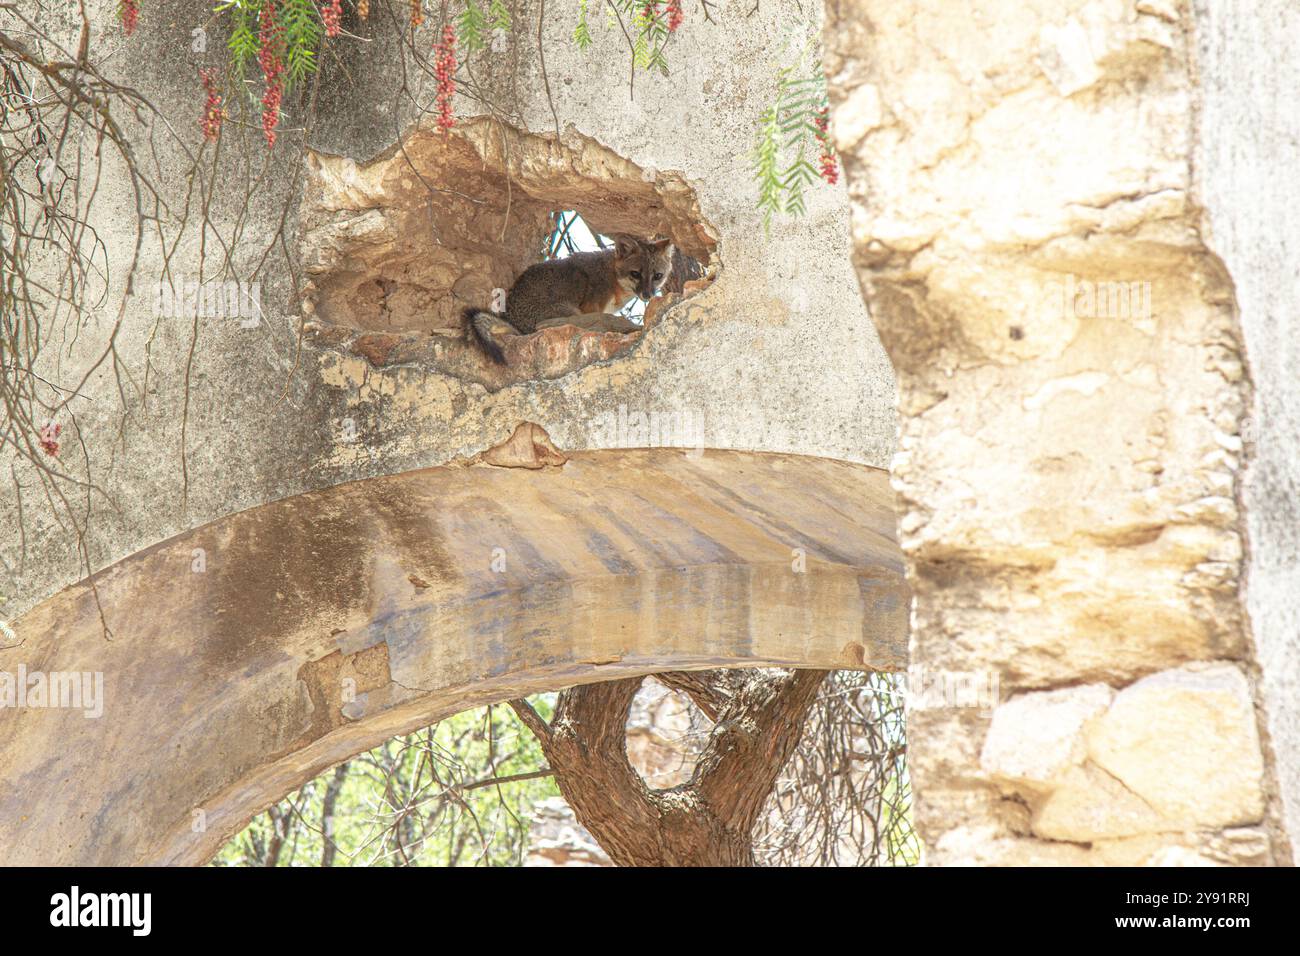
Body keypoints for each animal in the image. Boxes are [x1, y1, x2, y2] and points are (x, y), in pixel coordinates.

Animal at [465, 234, 675, 365]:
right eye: (635, 274)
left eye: (657, 276)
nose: (648, 295)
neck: (611, 275)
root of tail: (511, 319)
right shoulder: (592, 307)